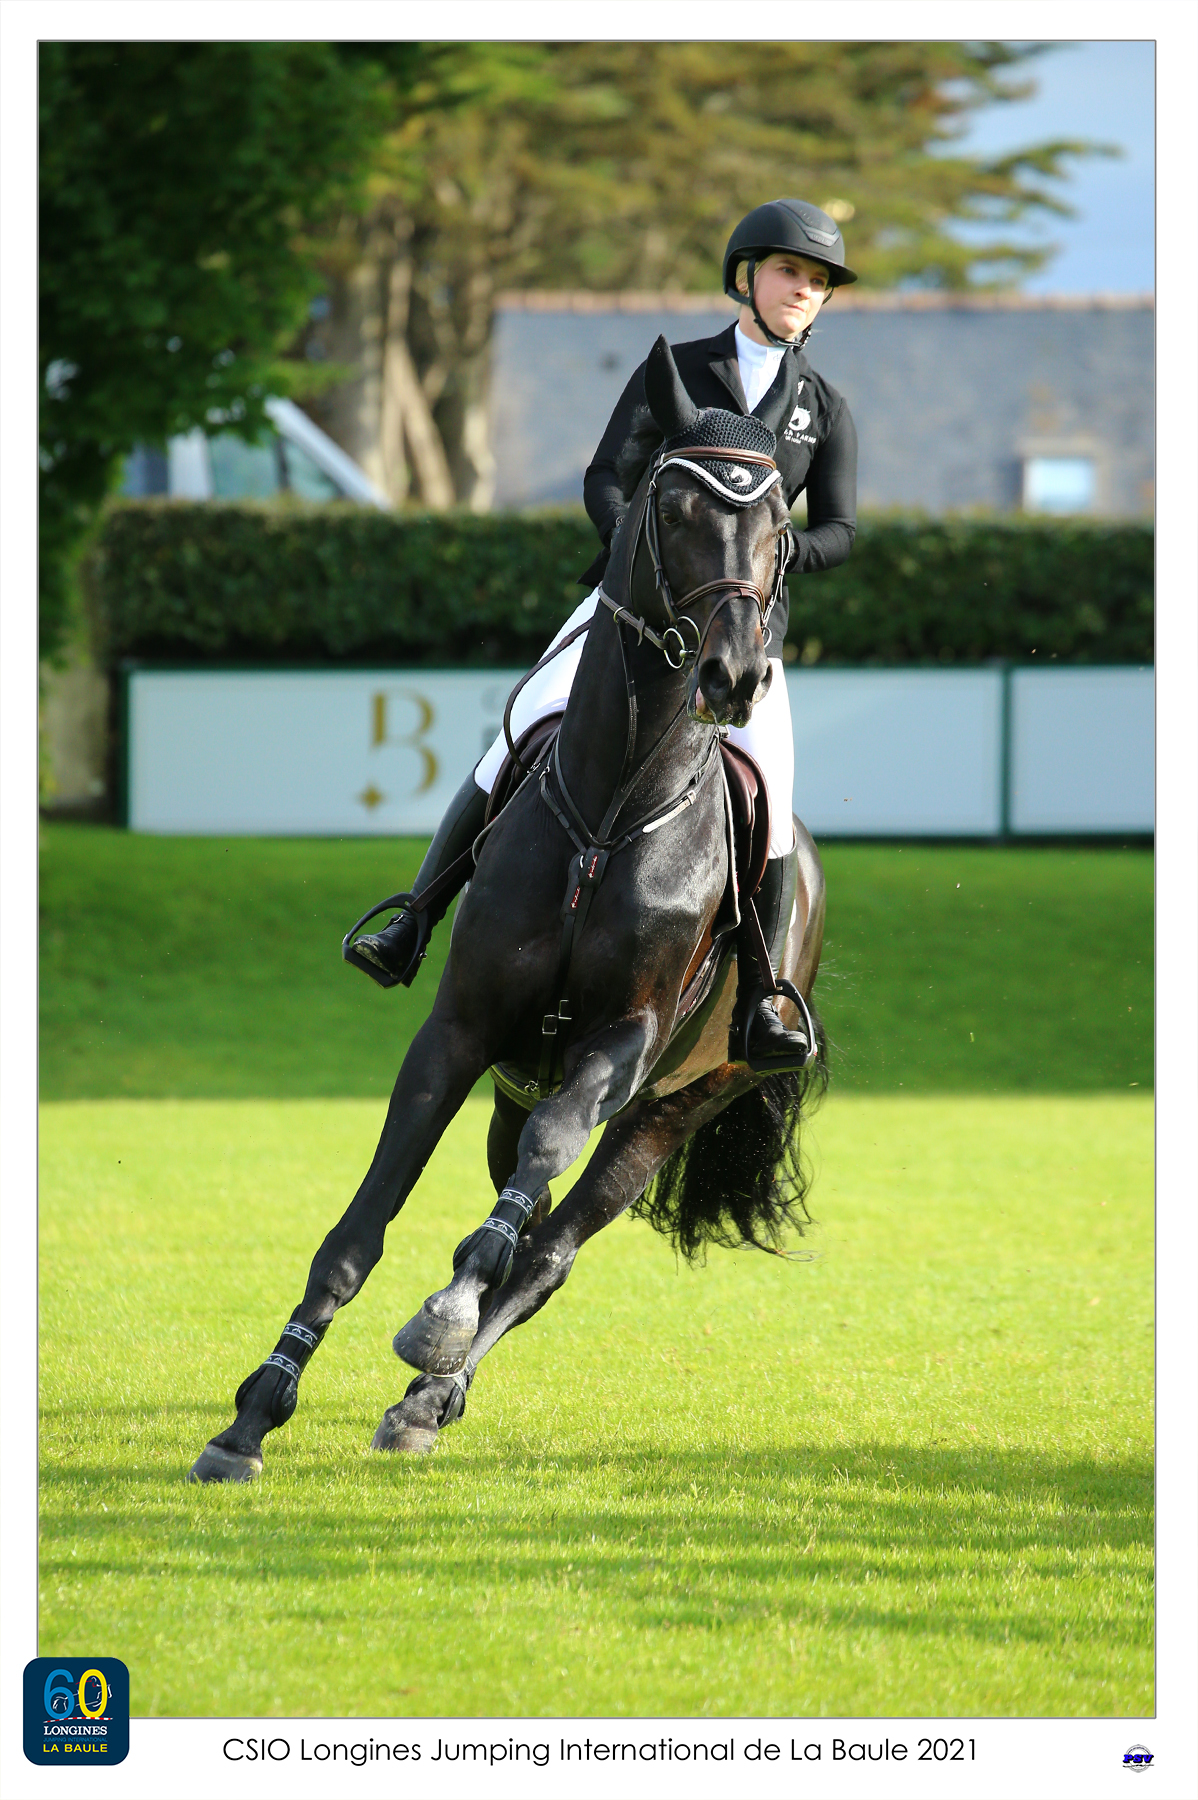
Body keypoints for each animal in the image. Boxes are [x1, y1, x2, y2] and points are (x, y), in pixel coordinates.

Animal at [189, 337, 827, 1482]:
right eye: (672, 506)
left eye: (781, 533)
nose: (735, 676)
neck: (613, 805)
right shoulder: (462, 1030)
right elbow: (356, 1234)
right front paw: (251, 1415)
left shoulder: (624, 1041)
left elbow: (529, 1198)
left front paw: (439, 1320)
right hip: (514, 1083)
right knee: (523, 1206)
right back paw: (423, 1394)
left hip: (673, 1107)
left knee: (549, 1247)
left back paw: (432, 1389)